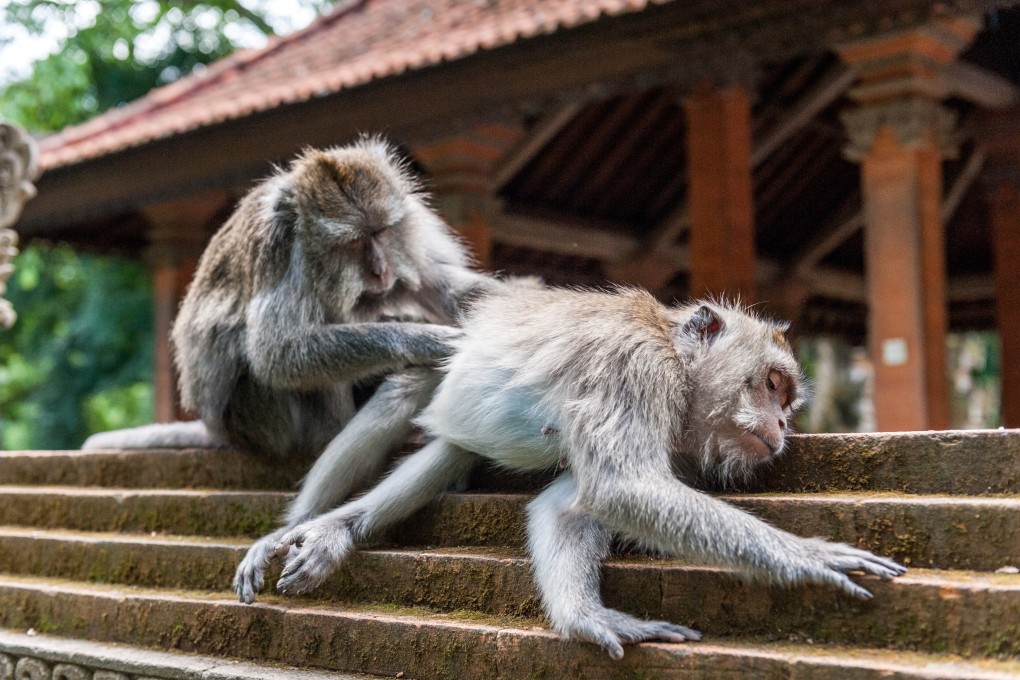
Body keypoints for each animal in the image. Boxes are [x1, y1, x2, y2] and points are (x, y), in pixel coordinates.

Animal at [80, 137, 503, 604]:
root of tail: (219, 429)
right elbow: (276, 352)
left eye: (381, 232)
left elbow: (442, 284)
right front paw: (423, 339)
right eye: (354, 242)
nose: (380, 269)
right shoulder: (283, 253)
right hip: (264, 420)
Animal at [267, 288, 907, 659]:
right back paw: (297, 524)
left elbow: (570, 504)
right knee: (406, 387)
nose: (780, 427)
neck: (677, 363)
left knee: (451, 451)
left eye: (787, 400)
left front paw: (586, 619)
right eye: (771, 384)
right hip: (441, 356)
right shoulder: (633, 368)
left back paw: (339, 529)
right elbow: (621, 488)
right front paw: (812, 557)